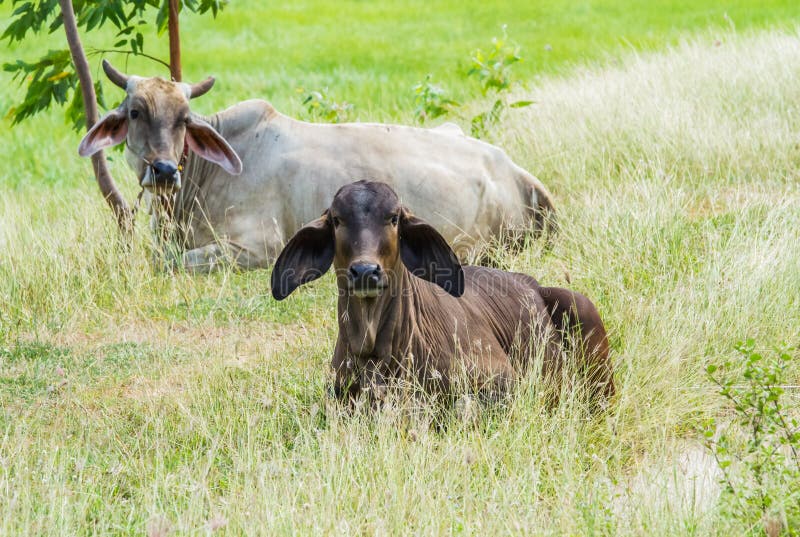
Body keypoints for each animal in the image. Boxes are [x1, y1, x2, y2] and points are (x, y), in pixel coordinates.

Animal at [77, 61, 556, 272]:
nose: (163, 170)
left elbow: (167, 262)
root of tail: (517, 173)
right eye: (135, 112)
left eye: (183, 119)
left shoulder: (259, 247)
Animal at [271, 181, 614, 404]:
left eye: (393, 218)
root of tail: (530, 282)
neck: (375, 353)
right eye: (337, 220)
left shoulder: (501, 382)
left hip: (582, 313)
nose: (365, 271)